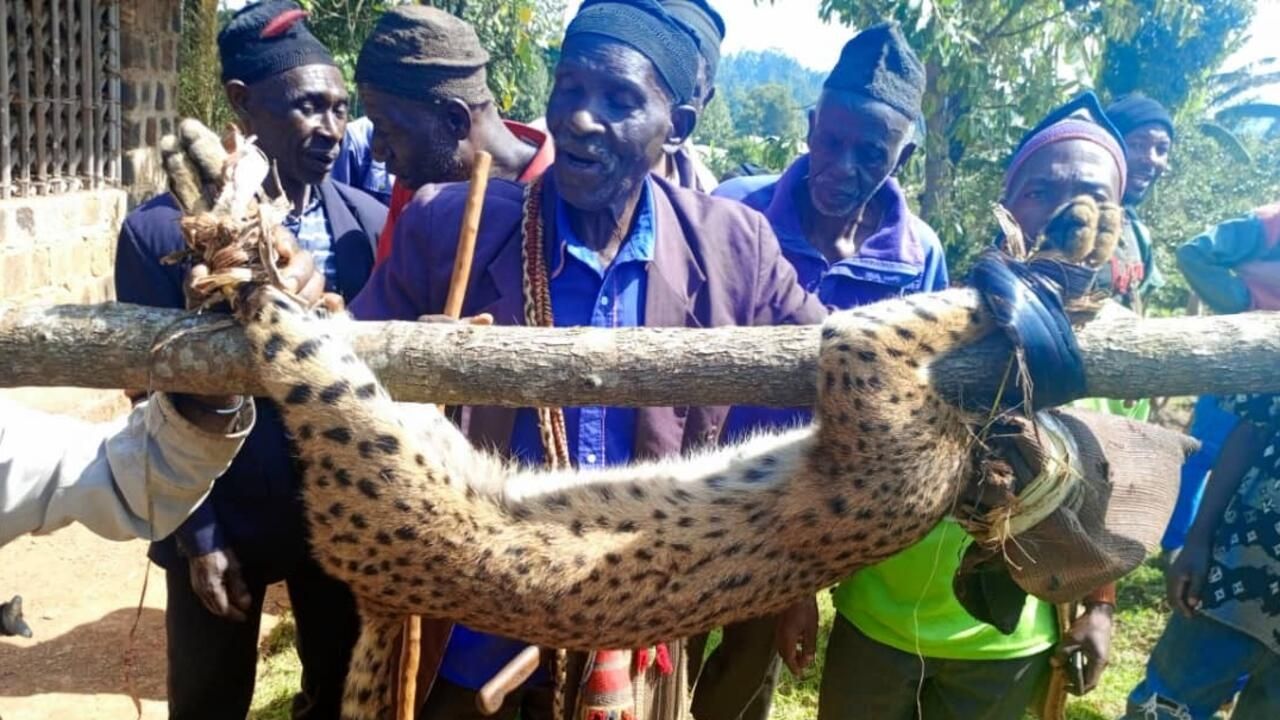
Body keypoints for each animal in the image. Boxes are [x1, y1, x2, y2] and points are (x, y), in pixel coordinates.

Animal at [231, 198, 1119, 719]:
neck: (962, 477)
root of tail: (378, 593)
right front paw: (1065, 259)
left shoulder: (865, 362)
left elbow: (909, 313)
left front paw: (1043, 273)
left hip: (359, 425)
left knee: (291, 346)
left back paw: (273, 292)